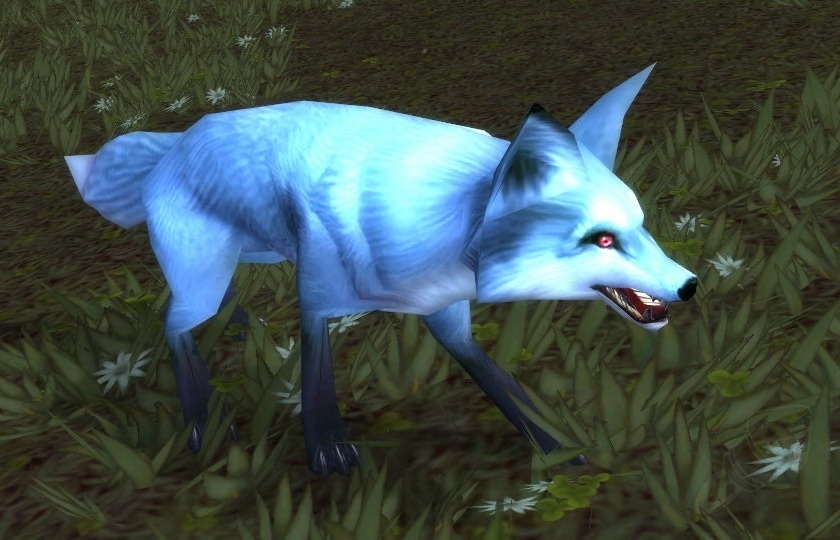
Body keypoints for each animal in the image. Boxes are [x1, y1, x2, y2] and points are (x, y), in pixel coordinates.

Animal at [66, 63, 697, 477]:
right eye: (602, 239)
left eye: (642, 226)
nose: (690, 285)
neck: (444, 235)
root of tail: (176, 142)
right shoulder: (318, 293)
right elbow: (317, 370)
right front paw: (327, 448)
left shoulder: (446, 315)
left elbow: (503, 385)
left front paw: (557, 448)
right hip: (208, 273)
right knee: (174, 324)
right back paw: (202, 419)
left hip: (247, 257)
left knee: (199, 309)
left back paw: (244, 333)